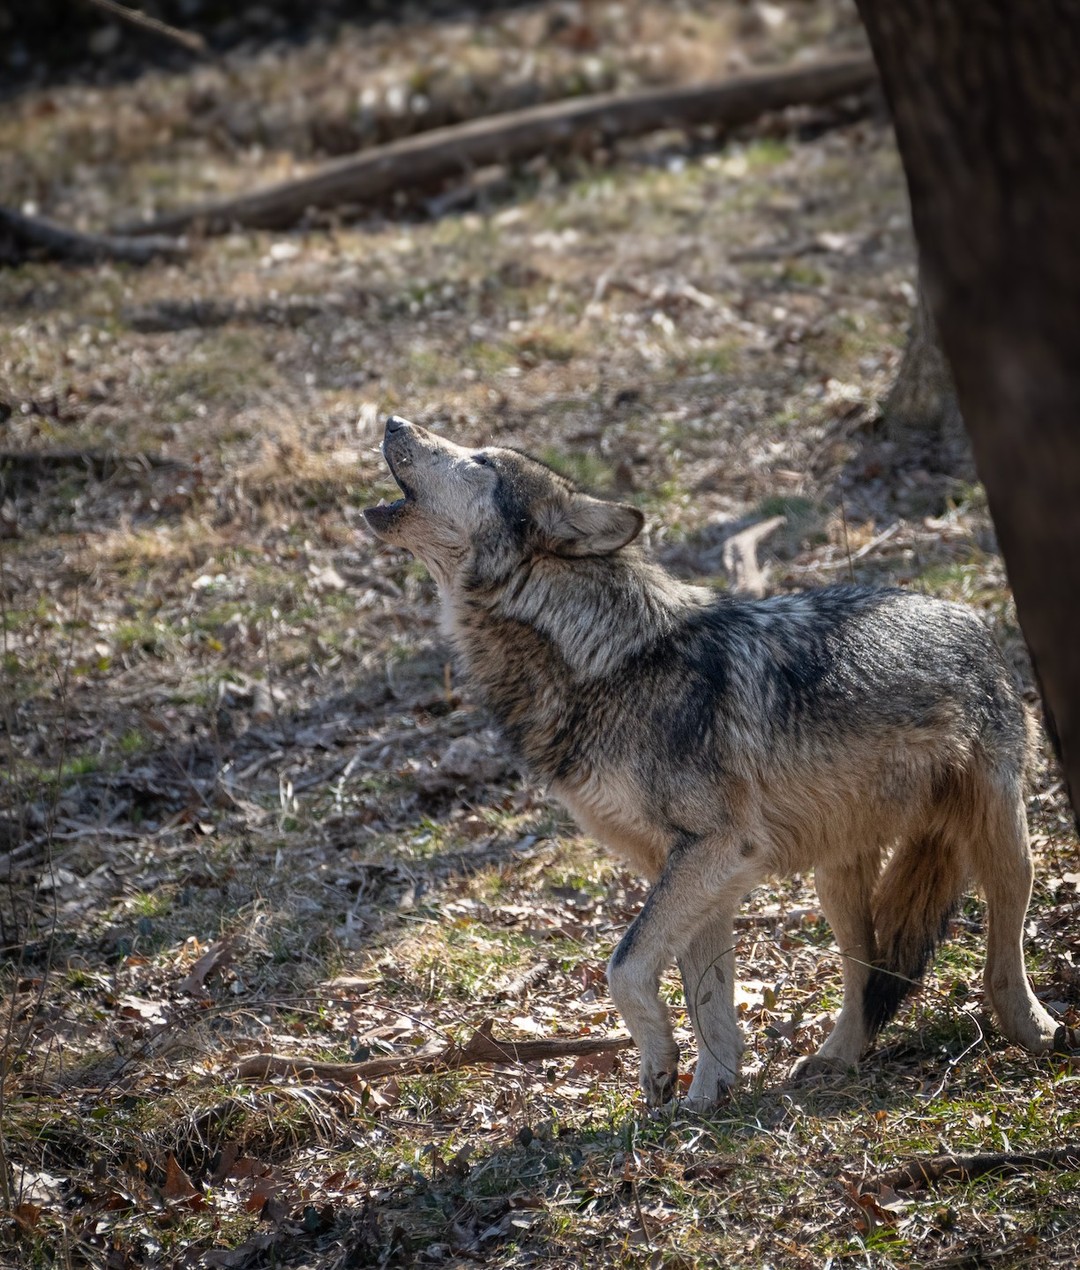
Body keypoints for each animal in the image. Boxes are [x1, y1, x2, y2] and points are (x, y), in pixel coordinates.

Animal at [364, 415, 1061, 1108]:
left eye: (481, 461)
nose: (393, 421)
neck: (603, 658)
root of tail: (966, 615)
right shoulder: (685, 867)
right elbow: (705, 999)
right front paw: (704, 1097)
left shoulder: (719, 848)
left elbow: (623, 966)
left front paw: (665, 1070)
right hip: (836, 882)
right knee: (867, 976)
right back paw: (835, 1059)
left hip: (1001, 840)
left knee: (1001, 957)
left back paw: (1039, 1033)